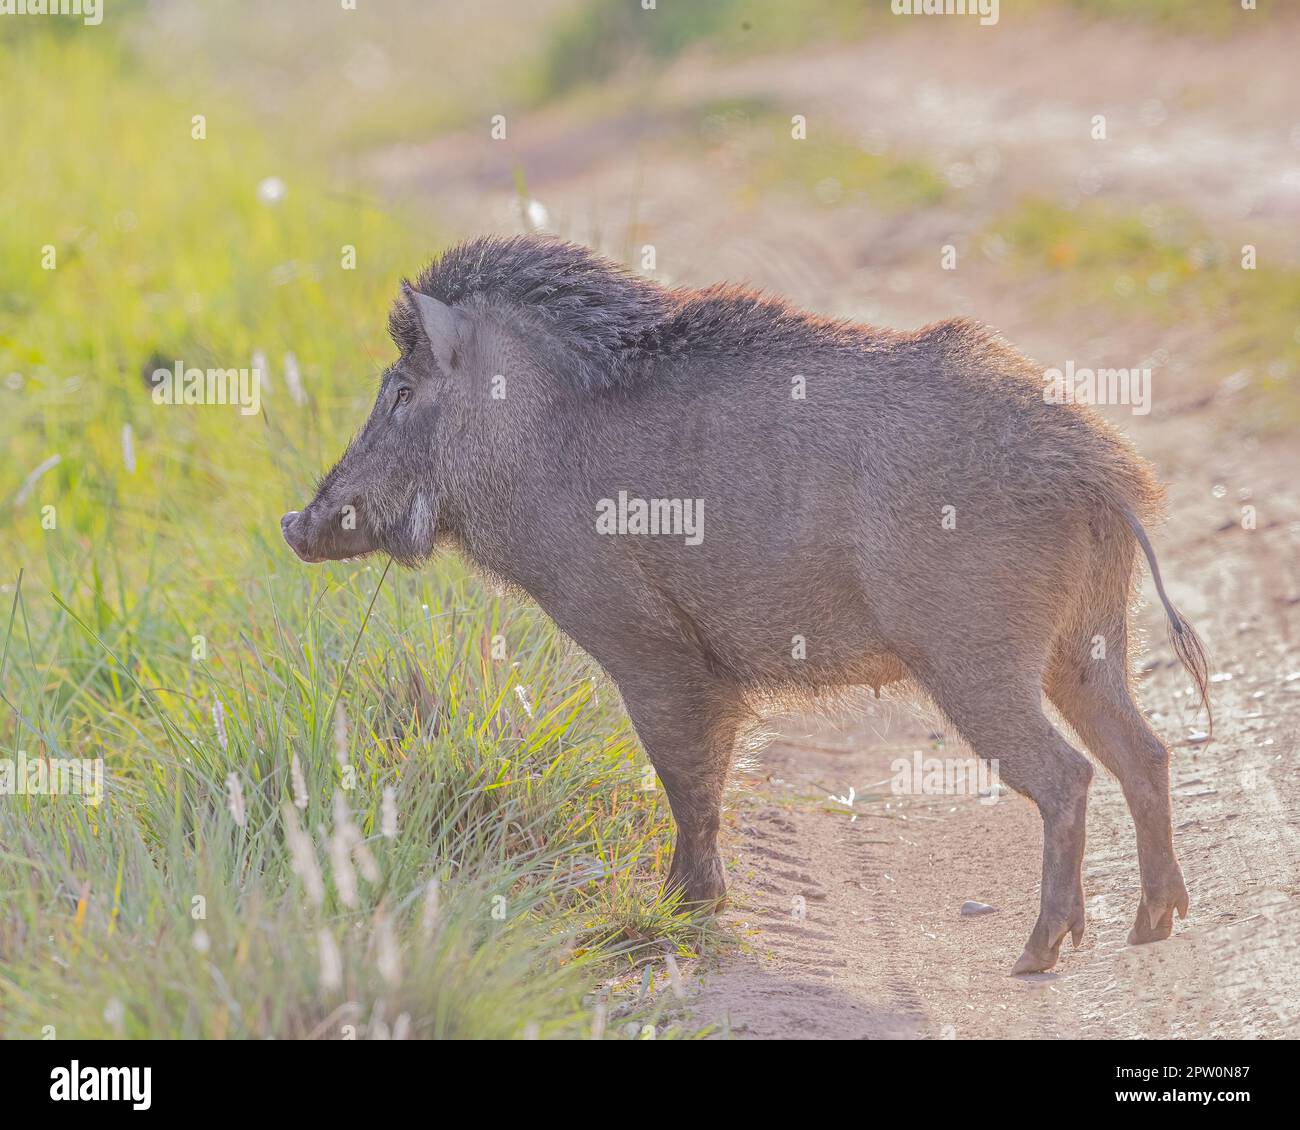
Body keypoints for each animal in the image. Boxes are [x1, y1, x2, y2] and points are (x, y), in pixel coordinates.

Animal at [282, 235, 1210, 975]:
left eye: (402, 390)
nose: (294, 523)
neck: (532, 437)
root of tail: (1098, 469)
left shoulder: (649, 647)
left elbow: (687, 781)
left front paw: (679, 913)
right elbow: (702, 783)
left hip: (975, 657)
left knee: (1068, 775)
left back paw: (1037, 955)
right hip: (1085, 647)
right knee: (1147, 754)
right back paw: (1152, 926)